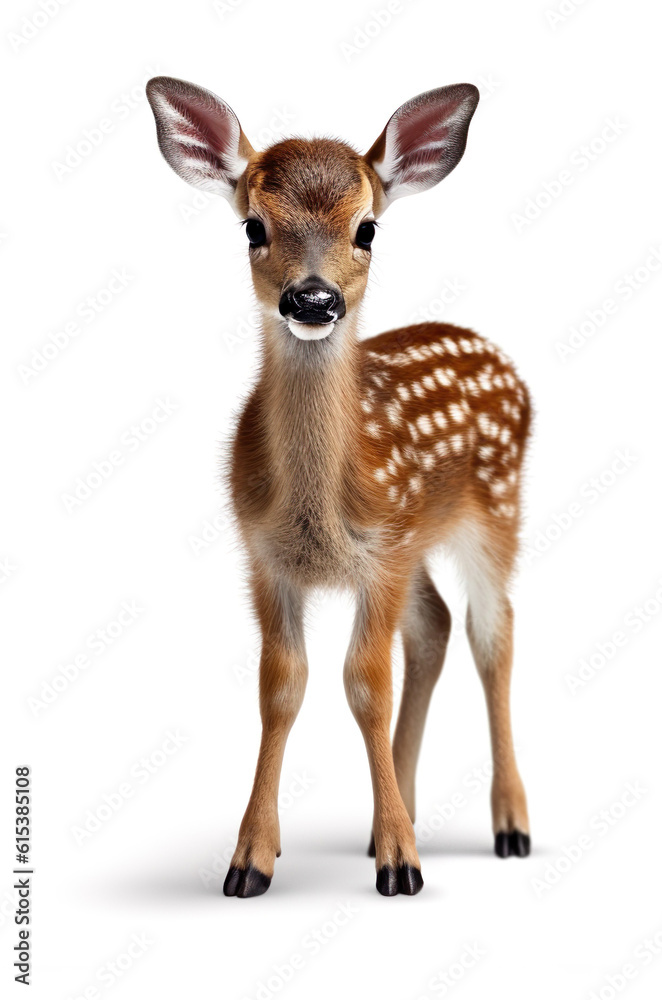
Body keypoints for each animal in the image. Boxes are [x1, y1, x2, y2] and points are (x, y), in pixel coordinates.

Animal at [146, 75, 532, 897]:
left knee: (492, 630)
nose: (314, 300)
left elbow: (364, 685)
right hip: (420, 544)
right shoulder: (266, 557)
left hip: (494, 511)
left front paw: (401, 866)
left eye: (368, 230)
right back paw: (401, 813)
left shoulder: (381, 553)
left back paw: (510, 824)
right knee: (435, 626)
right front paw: (251, 861)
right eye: (253, 226)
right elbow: (282, 687)